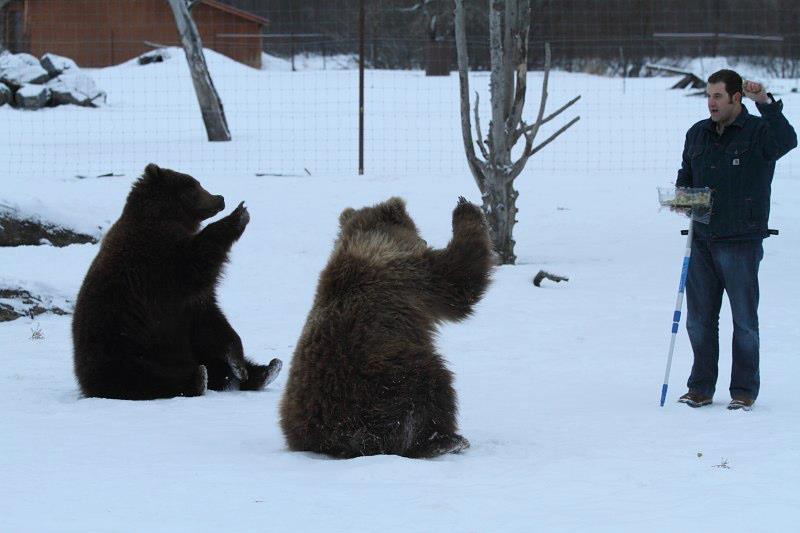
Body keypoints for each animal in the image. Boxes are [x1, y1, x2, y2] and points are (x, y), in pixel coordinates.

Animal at [72, 163, 282, 400]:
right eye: (194, 184)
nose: (220, 198)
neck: (168, 217)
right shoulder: (158, 263)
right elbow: (193, 261)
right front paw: (238, 215)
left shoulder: (189, 304)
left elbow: (213, 322)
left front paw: (241, 366)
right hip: (122, 341)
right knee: (142, 375)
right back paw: (195, 379)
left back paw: (265, 370)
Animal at [279, 196, 492, 458]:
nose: (423, 239)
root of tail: (330, 438)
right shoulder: (413, 276)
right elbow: (459, 279)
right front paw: (466, 209)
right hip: (381, 380)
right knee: (431, 384)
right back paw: (443, 440)